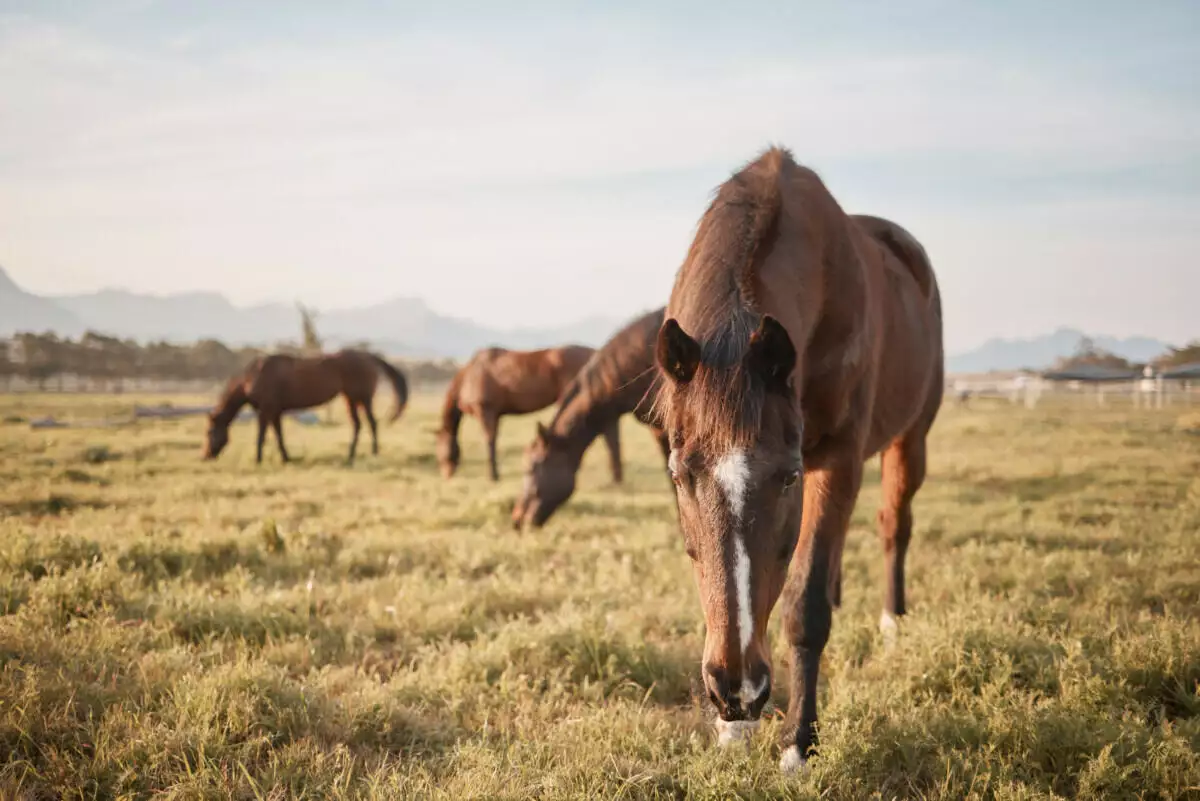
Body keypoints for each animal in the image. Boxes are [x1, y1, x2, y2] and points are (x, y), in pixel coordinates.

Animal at [203, 349, 409, 464]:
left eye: (209, 431)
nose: (205, 456)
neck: (253, 377)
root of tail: (368, 357)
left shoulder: (265, 411)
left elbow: (261, 436)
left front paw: (258, 459)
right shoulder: (276, 412)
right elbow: (279, 436)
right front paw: (286, 458)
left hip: (363, 399)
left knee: (372, 423)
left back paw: (373, 453)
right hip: (350, 400)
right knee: (358, 425)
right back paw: (351, 455)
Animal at [436, 345, 609, 481]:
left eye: (440, 447)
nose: (446, 475)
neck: (471, 375)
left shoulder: (486, 412)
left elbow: (489, 441)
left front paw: (493, 475)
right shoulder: (496, 415)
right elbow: (494, 440)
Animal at [653, 147, 943, 773]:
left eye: (784, 477)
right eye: (679, 476)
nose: (736, 690)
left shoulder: (836, 459)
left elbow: (803, 606)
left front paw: (798, 744)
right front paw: (731, 730)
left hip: (910, 441)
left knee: (893, 525)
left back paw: (892, 622)